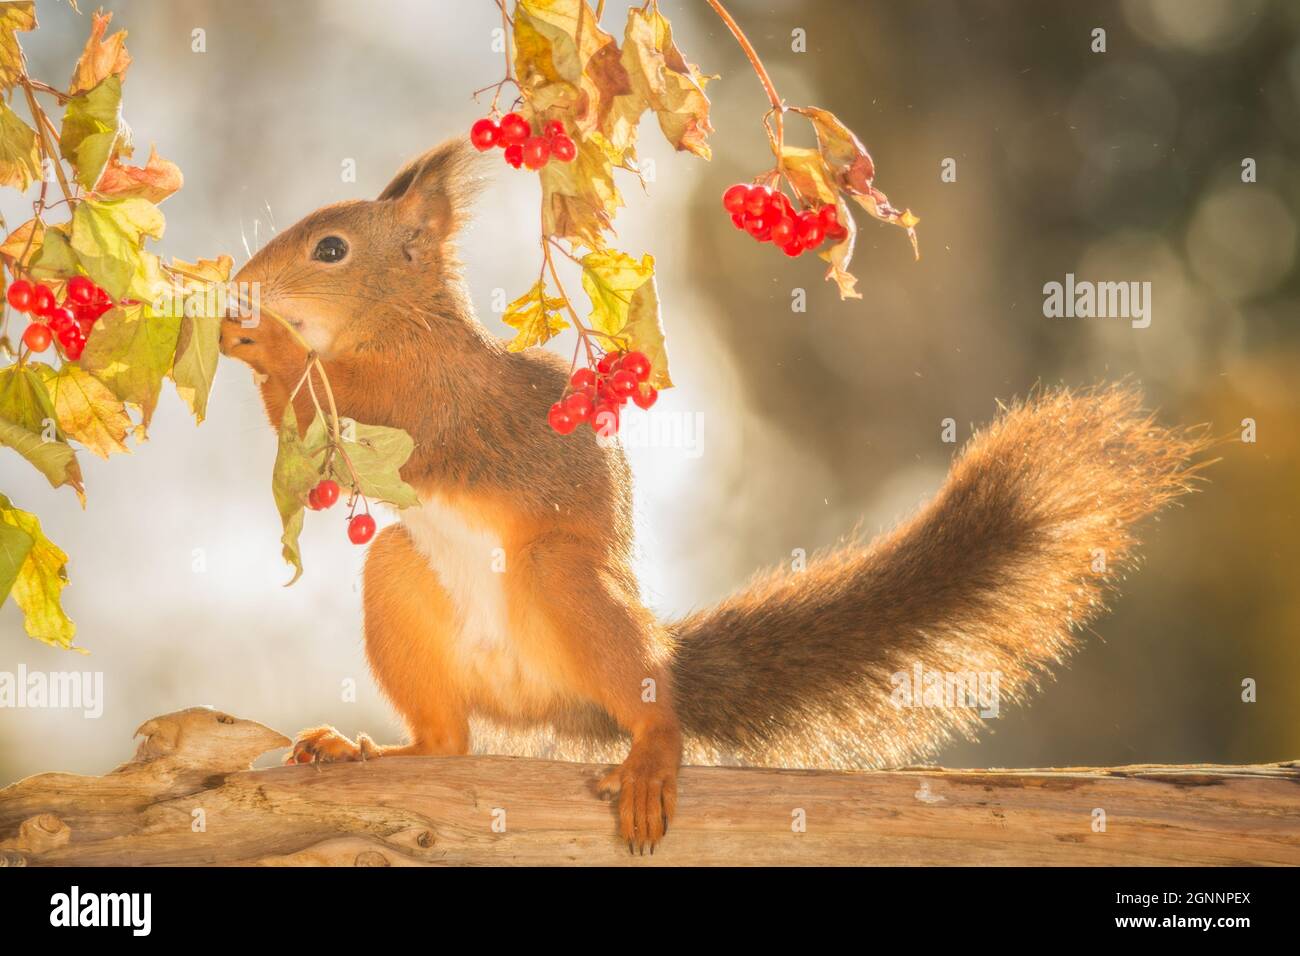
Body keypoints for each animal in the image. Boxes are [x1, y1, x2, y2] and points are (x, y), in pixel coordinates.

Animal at [219, 139, 1209, 852]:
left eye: (331, 249)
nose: (244, 283)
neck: (398, 322)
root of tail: (552, 704)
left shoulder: (424, 398)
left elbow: (327, 402)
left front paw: (261, 339)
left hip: (562, 581)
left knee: (652, 703)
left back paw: (651, 756)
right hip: (401, 578)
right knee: (447, 739)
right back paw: (365, 747)